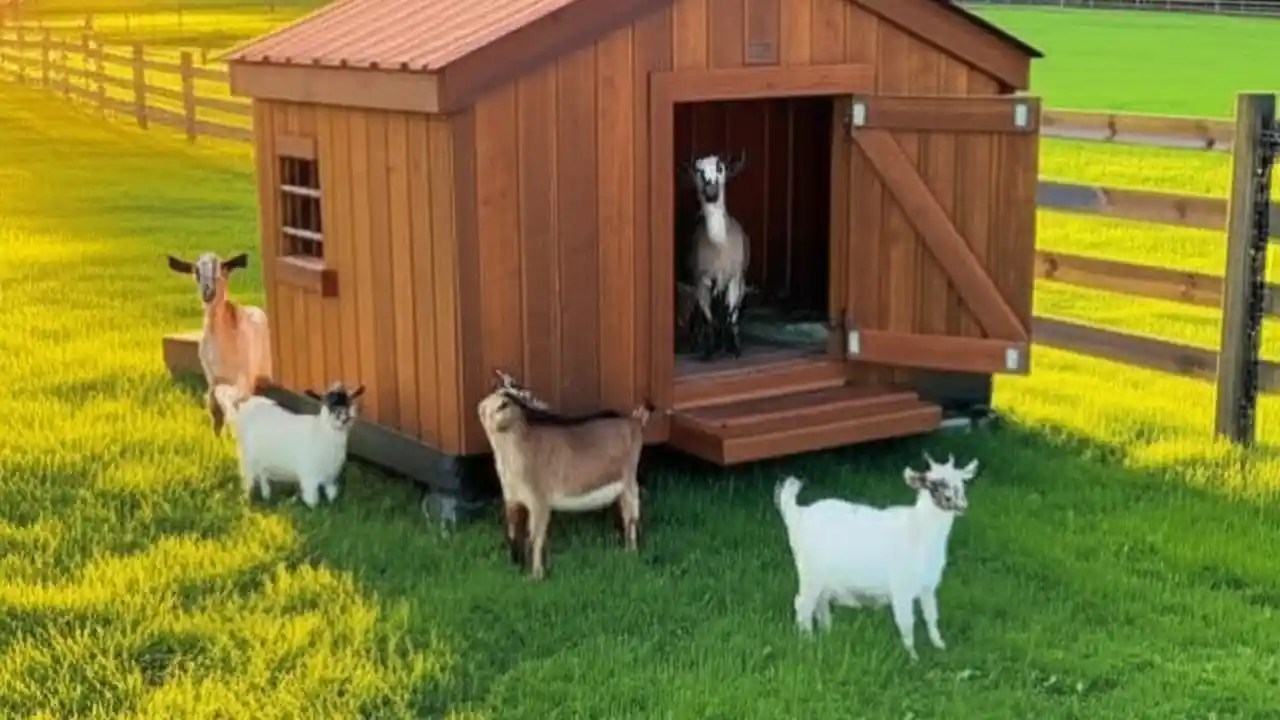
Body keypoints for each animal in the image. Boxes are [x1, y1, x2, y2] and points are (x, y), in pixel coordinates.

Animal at [167, 251, 273, 436]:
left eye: (222, 269)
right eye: (196, 272)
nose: (208, 292)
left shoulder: (244, 378)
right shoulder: (212, 378)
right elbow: (214, 407)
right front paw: (217, 436)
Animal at [213, 381, 364, 508]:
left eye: (349, 401)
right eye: (327, 404)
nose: (344, 418)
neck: (319, 432)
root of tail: (245, 406)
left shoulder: (330, 478)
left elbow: (332, 496)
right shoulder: (309, 478)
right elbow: (313, 502)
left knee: (262, 474)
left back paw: (266, 495)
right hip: (245, 456)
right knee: (247, 479)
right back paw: (246, 500)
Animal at [478, 370, 649, 580]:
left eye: (504, 404)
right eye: (487, 407)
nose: (492, 416)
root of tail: (635, 423)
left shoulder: (540, 501)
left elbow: (535, 538)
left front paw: (536, 575)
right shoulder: (511, 500)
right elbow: (512, 534)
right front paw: (517, 567)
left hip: (629, 480)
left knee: (632, 516)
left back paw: (631, 552)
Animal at [683, 152, 750, 359]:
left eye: (720, 168)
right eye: (699, 170)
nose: (711, 191)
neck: (720, 243)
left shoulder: (734, 277)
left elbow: (730, 314)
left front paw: (735, 349)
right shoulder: (701, 279)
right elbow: (708, 317)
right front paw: (709, 351)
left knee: (729, 310)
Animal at [774, 452, 980, 661]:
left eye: (961, 482)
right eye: (934, 484)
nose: (961, 505)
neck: (919, 528)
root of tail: (798, 513)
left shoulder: (928, 586)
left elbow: (931, 616)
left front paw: (939, 645)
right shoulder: (901, 588)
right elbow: (906, 623)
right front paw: (913, 656)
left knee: (820, 603)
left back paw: (827, 633)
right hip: (810, 573)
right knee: (803, 604)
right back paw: (807, 641)